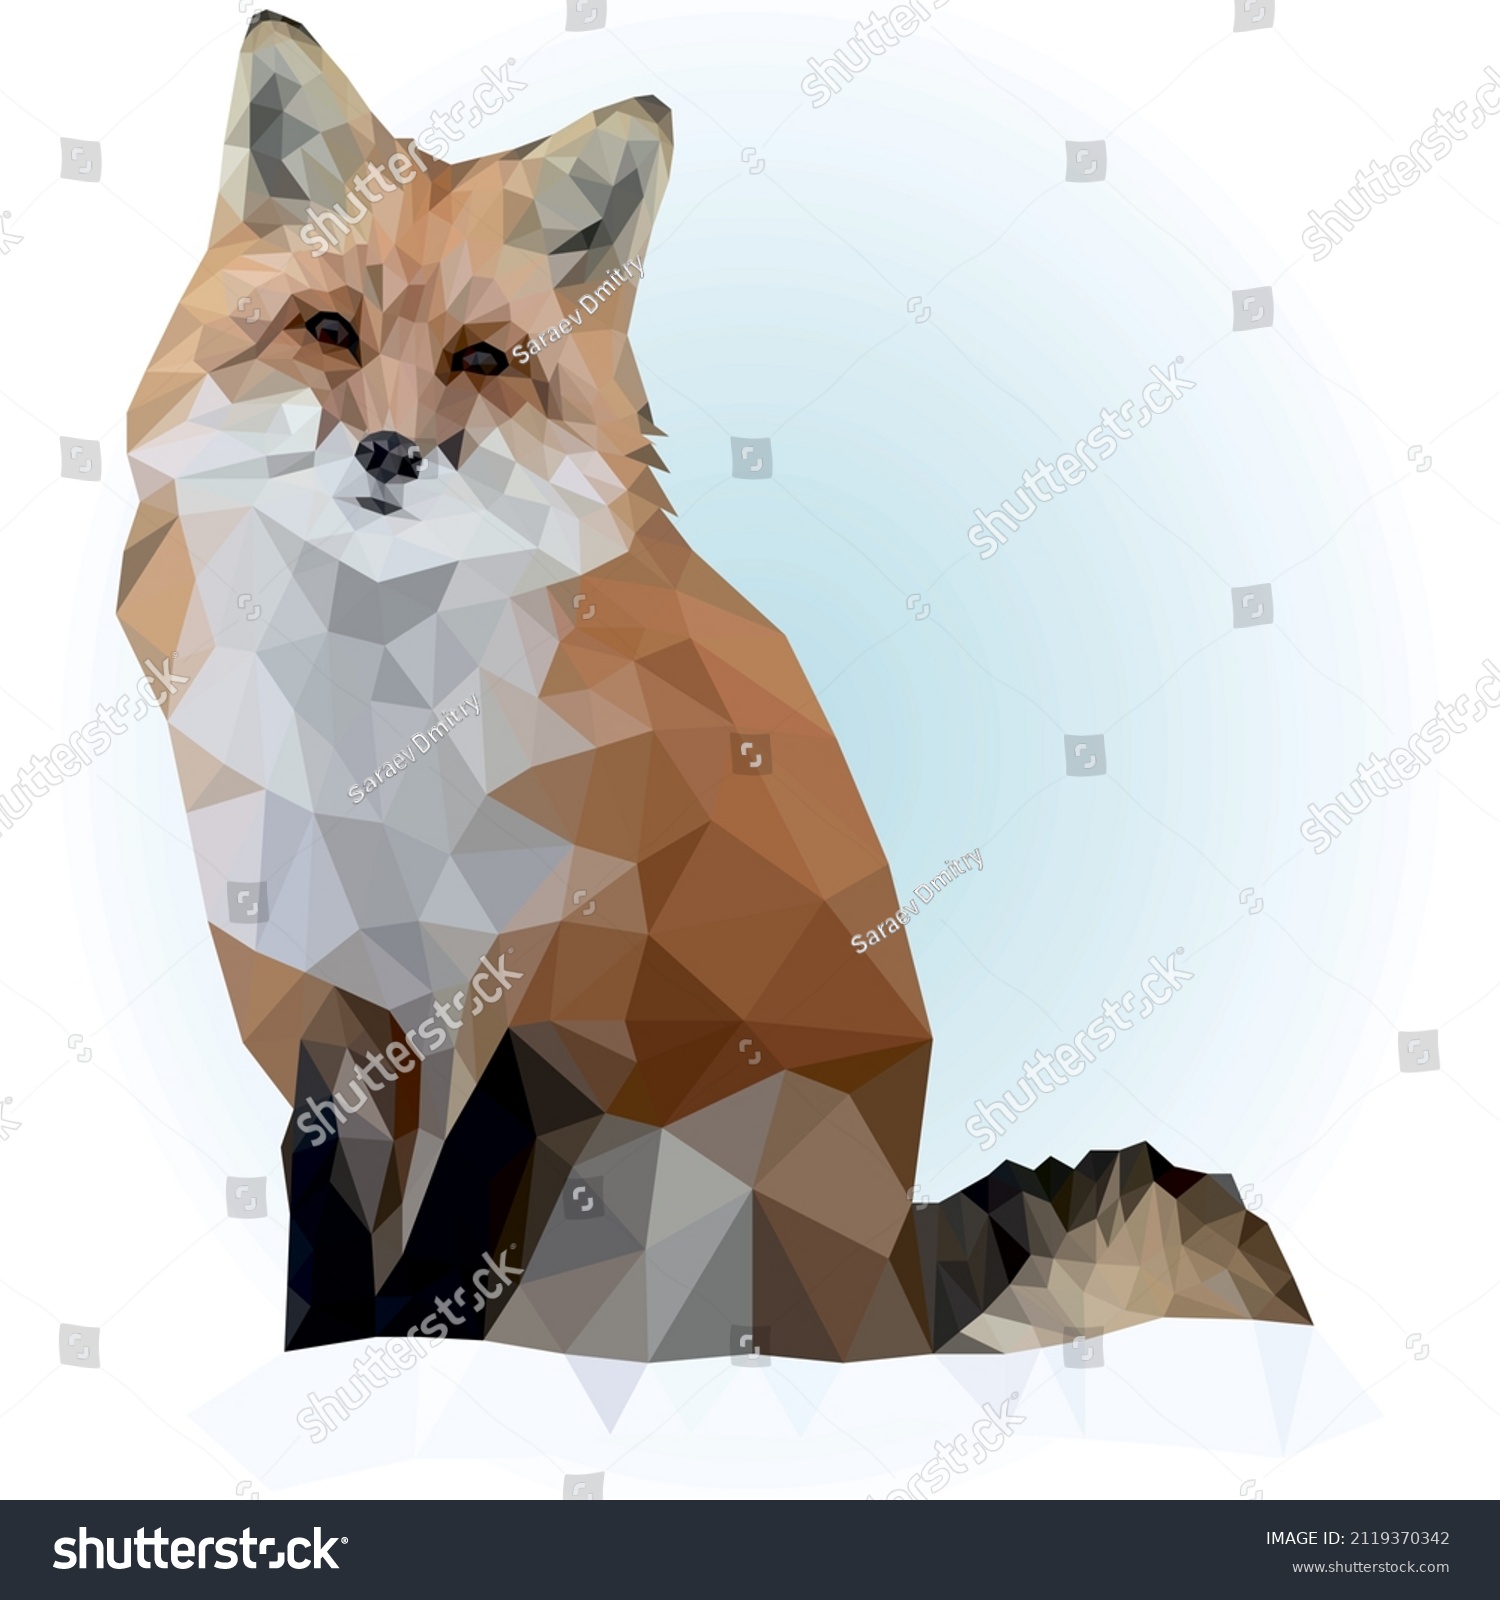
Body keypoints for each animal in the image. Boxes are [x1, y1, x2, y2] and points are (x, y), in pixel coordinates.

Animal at [117, 12, 1309, 1360]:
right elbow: (325, 1234)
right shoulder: (321, 988)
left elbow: (454, 1239)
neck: (386, 737)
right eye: (329, 331)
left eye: (484, 359)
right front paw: (320, 1364)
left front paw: (417, 1362)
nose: (389, 452)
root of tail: (898, 1289)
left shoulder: (551, 996)